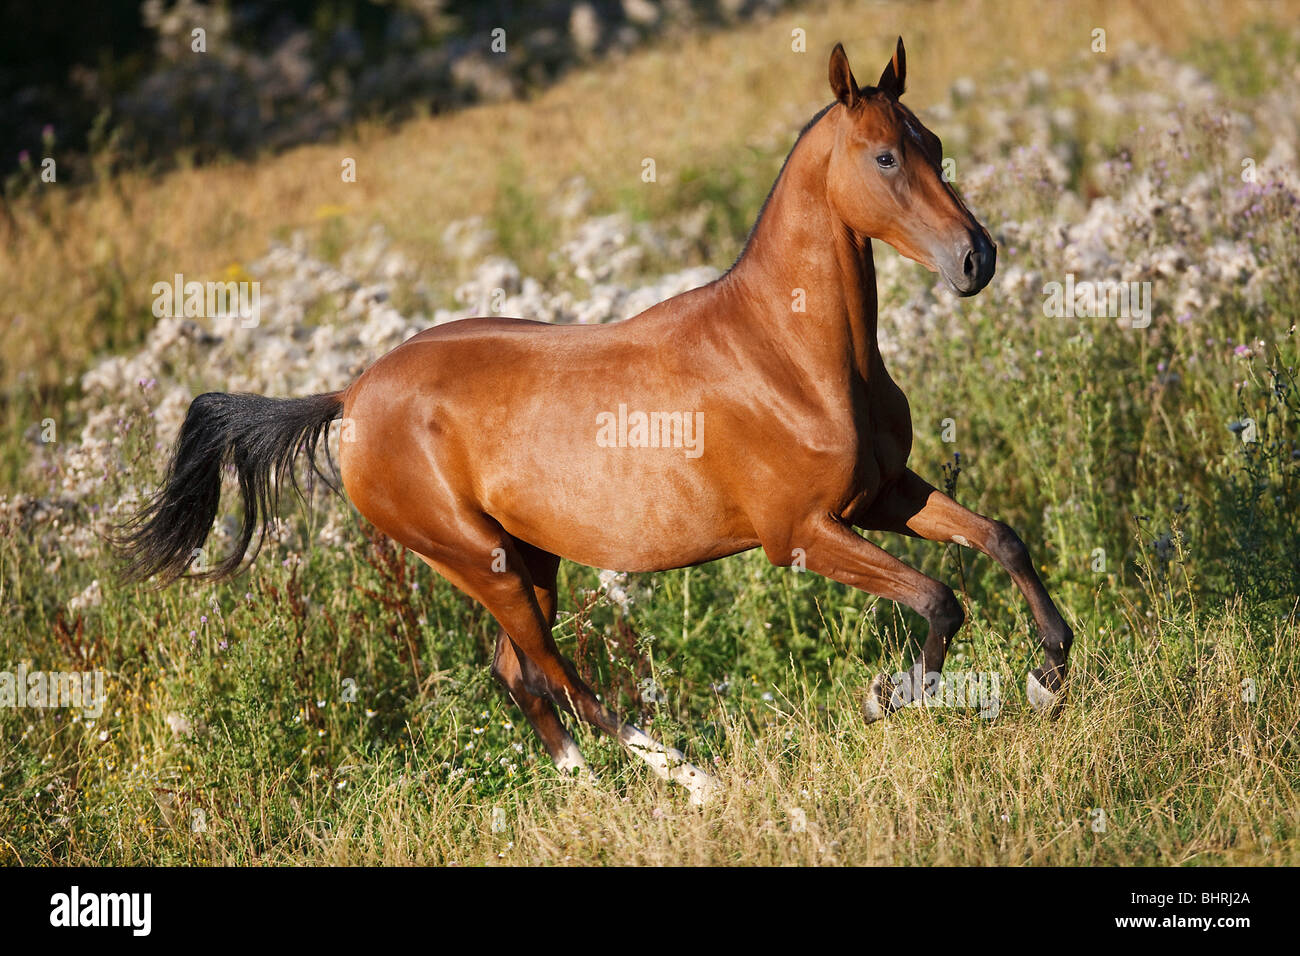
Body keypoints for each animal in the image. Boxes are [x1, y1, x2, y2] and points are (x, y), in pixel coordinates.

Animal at [116, 39, 1074, 805]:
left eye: (934, 146)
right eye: (882, 158)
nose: (976, 259)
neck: (790, 355)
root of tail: (351, 398)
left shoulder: (884, 495)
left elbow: (1000, 539)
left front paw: (1049, 671)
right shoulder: (801, 533)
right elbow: (939, 598)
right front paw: (892, 696)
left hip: (530, 561)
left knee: (518, 674)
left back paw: (590, 790)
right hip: (483, 562)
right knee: (555, 674)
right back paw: (689, 778)